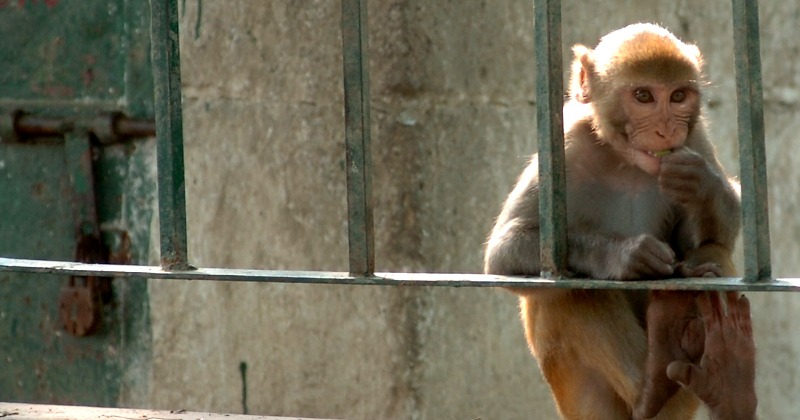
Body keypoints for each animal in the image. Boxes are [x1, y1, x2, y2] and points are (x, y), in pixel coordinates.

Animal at [483, 23, 741, 419]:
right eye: (643, 96)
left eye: (678, 96)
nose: (666, 130)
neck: (626, 163)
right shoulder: (566, 143)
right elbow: (505, 250)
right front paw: (626, 256)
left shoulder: (695, 138)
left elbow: (717, 238)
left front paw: (702, 182)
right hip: (578, 391)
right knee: (569, 289)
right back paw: (650, 387)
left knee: (715, 256)